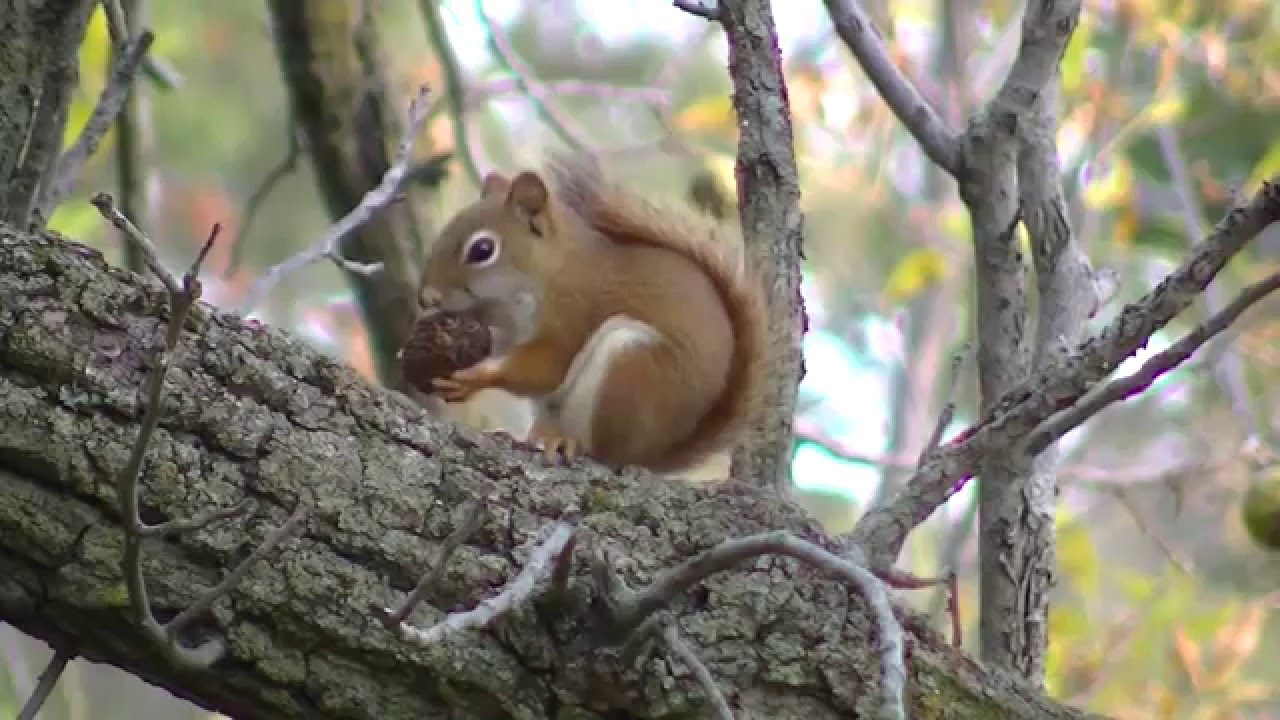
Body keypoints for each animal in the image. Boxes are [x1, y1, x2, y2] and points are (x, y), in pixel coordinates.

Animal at [416, 153, 769, 474]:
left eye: (483, 250)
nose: (426, 298)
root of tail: (653, 455)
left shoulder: (572, 313)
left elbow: (545, 368)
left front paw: (476, 378)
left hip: (632, 368)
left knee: (603, 452)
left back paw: (570, 444)